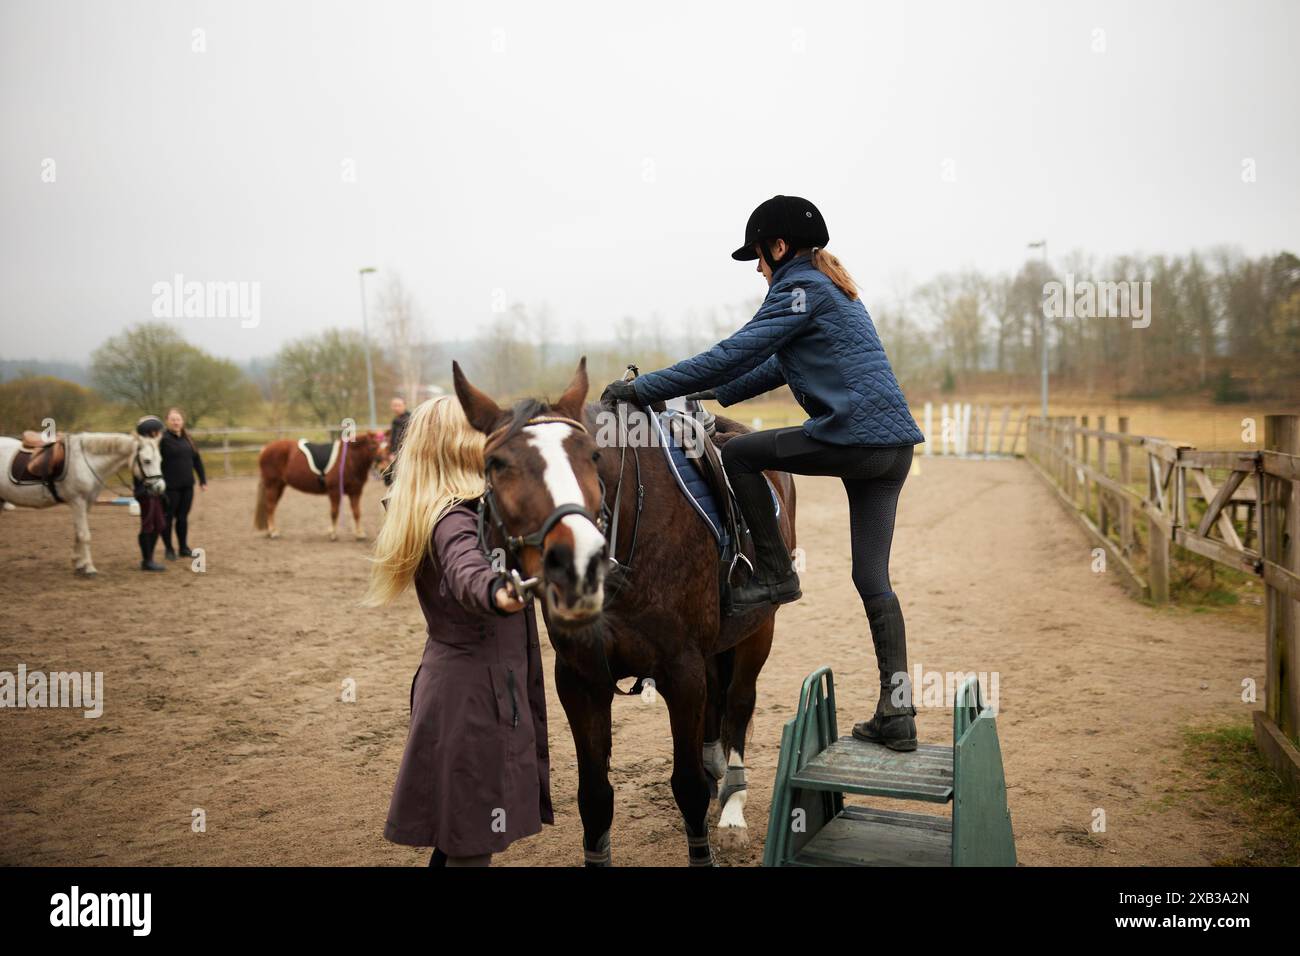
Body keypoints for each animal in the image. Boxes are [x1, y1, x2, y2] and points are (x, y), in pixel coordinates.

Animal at [0, 431, 165, 576]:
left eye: (160, 460)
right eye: (147, 461)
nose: (160, 487)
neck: (86, 461)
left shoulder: (86, 503)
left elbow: (78, 533)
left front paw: (79, 564)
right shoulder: (77, 501)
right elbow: (85, 535)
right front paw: (90, 568)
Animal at [253, 432, 382, 540]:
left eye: (385, 445)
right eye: (373, 446)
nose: (381, 463)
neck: (350, 459)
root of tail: (265, 449)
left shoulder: (356, 491)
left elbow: (357, 512)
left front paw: (359, 534)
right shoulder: (334, 491)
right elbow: (334, 512)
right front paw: (333, 534)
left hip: (279, 486)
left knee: (272, 507)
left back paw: (271, 531)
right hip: (272, 485)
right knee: (270, 507)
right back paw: (273, 532)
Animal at [453, 357, 796, 866]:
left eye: (592, 457)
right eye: (496, 465)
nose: (576, 565)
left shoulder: (681, 671)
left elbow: (688, 787)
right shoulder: (580, 680)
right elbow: (595, 798)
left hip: (759, 631)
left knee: (737, 703)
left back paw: (733, 809)